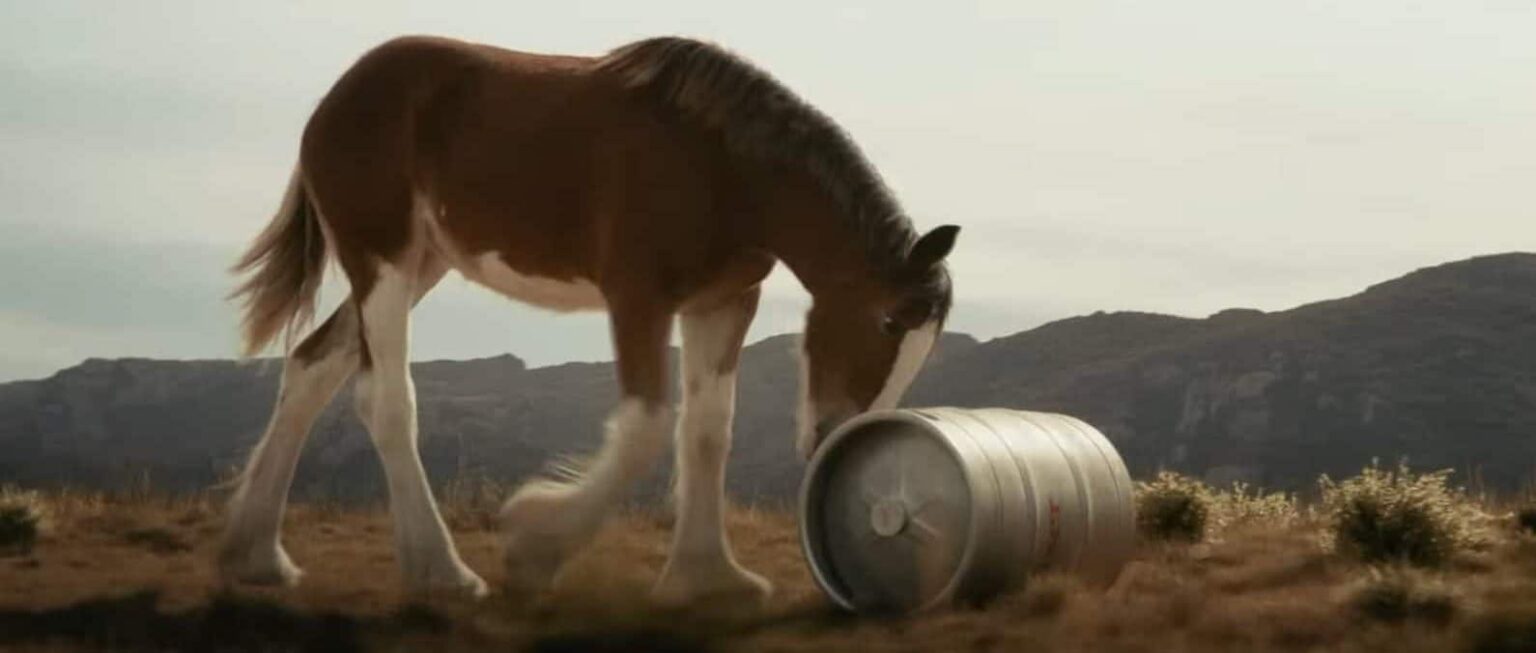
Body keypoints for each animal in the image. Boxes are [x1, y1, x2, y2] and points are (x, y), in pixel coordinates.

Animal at [219, 35, 959, 604]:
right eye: (887, 322)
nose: (835, 441)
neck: (724, 165)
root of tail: (335, 101)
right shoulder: (638, 295)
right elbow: (645, 426)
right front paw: (535, 543)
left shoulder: (722, 302)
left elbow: (707, 431)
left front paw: (708, 575)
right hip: (383, 260)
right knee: (384, 399)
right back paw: (442, 572)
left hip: (424, 261)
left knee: (311, 367)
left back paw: (258, 556)